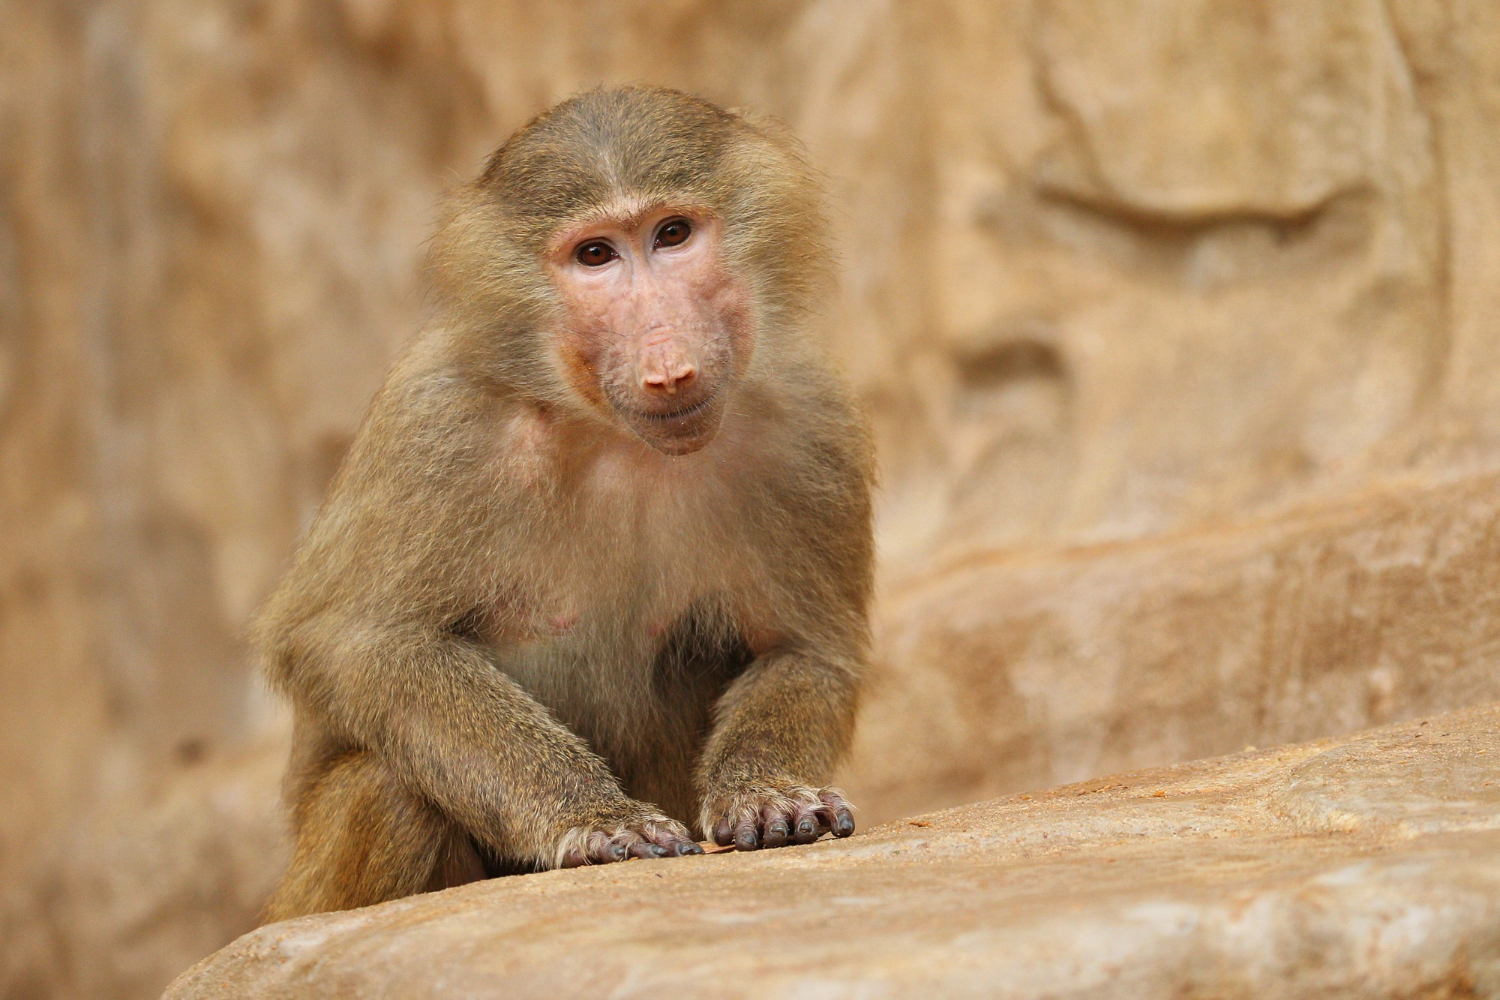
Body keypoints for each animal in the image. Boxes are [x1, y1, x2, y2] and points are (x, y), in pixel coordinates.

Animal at [254, 85, 874, 921]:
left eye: (671, 234)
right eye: (595, 255)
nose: (668, 363)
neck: (615, 435)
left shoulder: (811, 426)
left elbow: (803, 649)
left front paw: (767, 794)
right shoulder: (437, 421)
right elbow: (366, 643)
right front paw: (597, 818)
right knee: (387, 788)